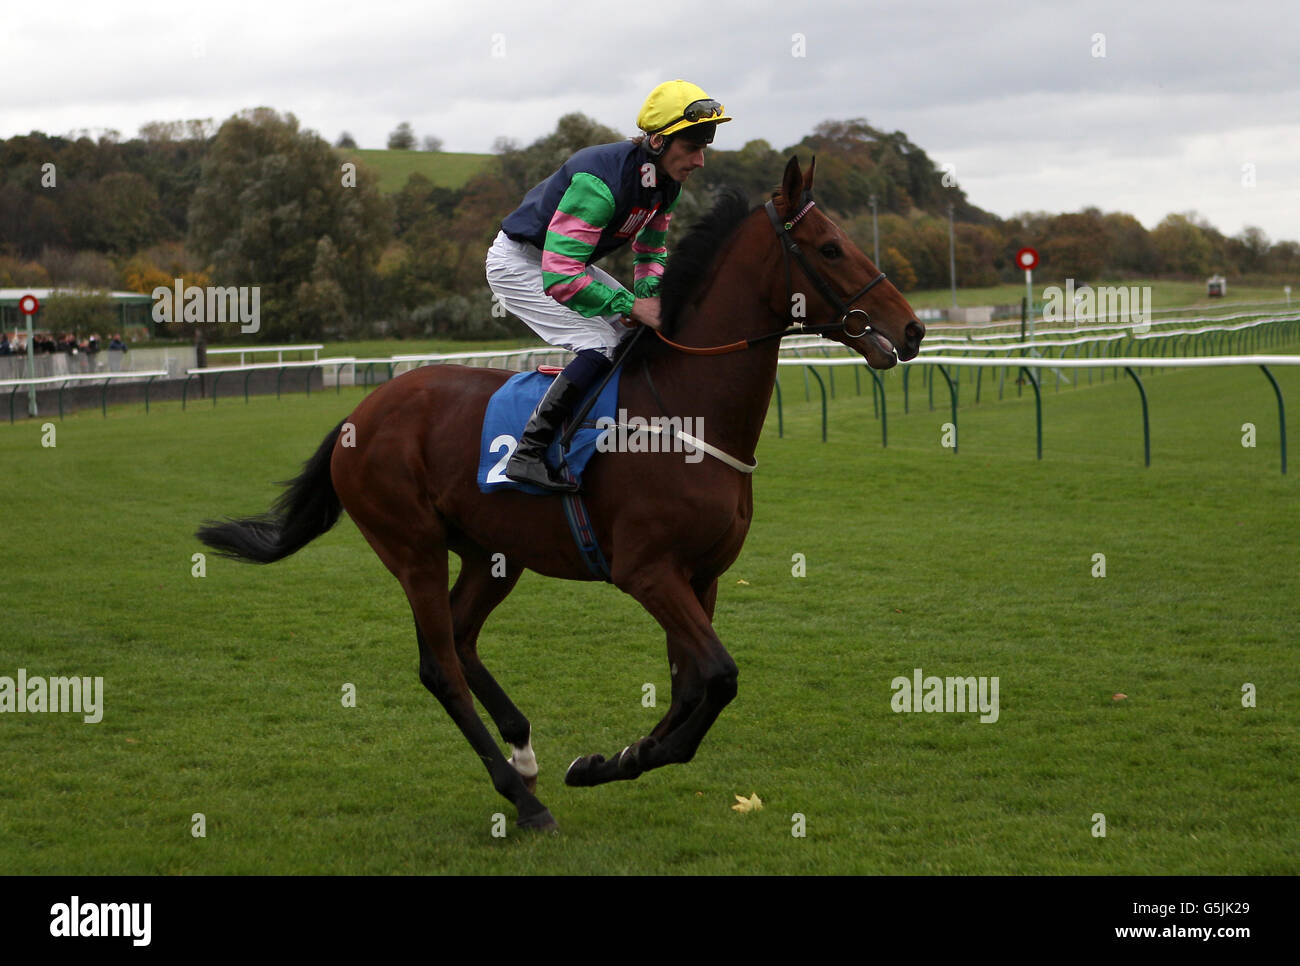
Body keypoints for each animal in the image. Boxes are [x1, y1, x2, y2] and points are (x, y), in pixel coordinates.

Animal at [197, 156, 925, 832]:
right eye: (829, 247)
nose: (913, 329)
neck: (687, 410)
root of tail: (359, 413)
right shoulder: (647, 572)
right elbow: (719, 676)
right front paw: (620, 759)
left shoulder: (703, 574)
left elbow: (691, 687)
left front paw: (614, 759)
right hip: (412, 548)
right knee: (441, 666)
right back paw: (522, 800)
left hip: (493, 553)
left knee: (460, 639)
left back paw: (522, 751)